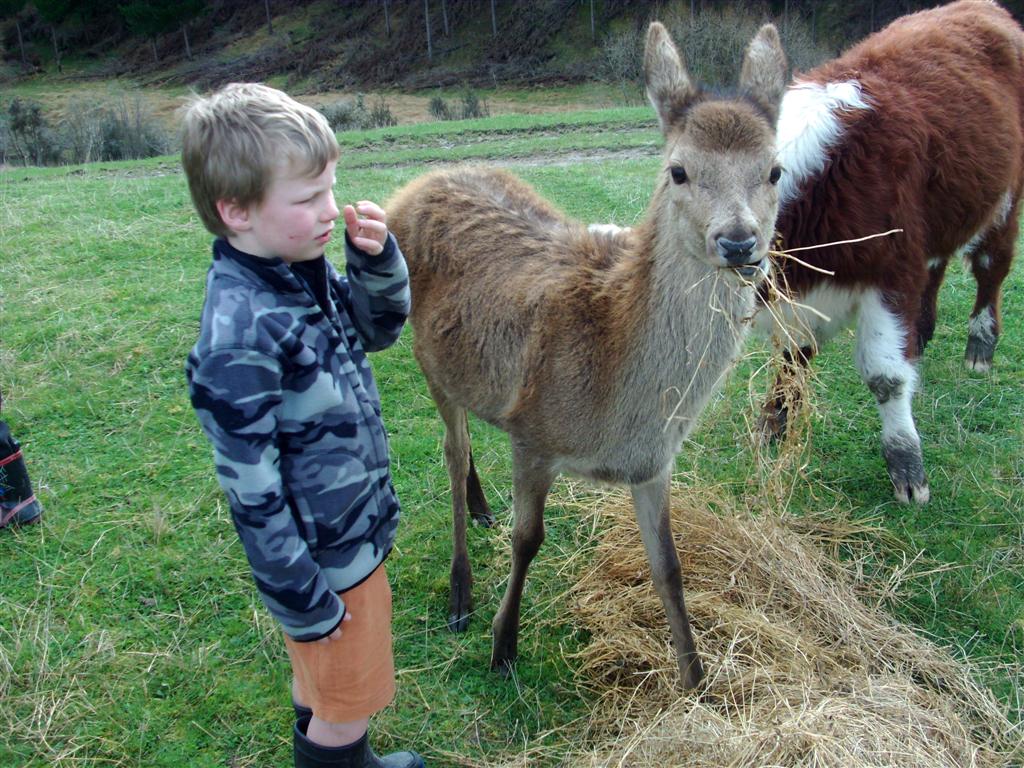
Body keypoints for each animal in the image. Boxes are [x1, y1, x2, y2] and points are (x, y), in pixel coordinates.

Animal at [386, 21, 788, 689]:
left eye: (776, 169)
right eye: (678, 170)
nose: (738, 242)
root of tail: (413, 187)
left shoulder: (653, 463)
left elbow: (670, 565)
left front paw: (696, 678)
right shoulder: (533, 433)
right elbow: (528, 539)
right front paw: (503, 645)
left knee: (464, 430)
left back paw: (480, 507)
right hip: (421, 351)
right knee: (452, 448)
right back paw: (461, 590)